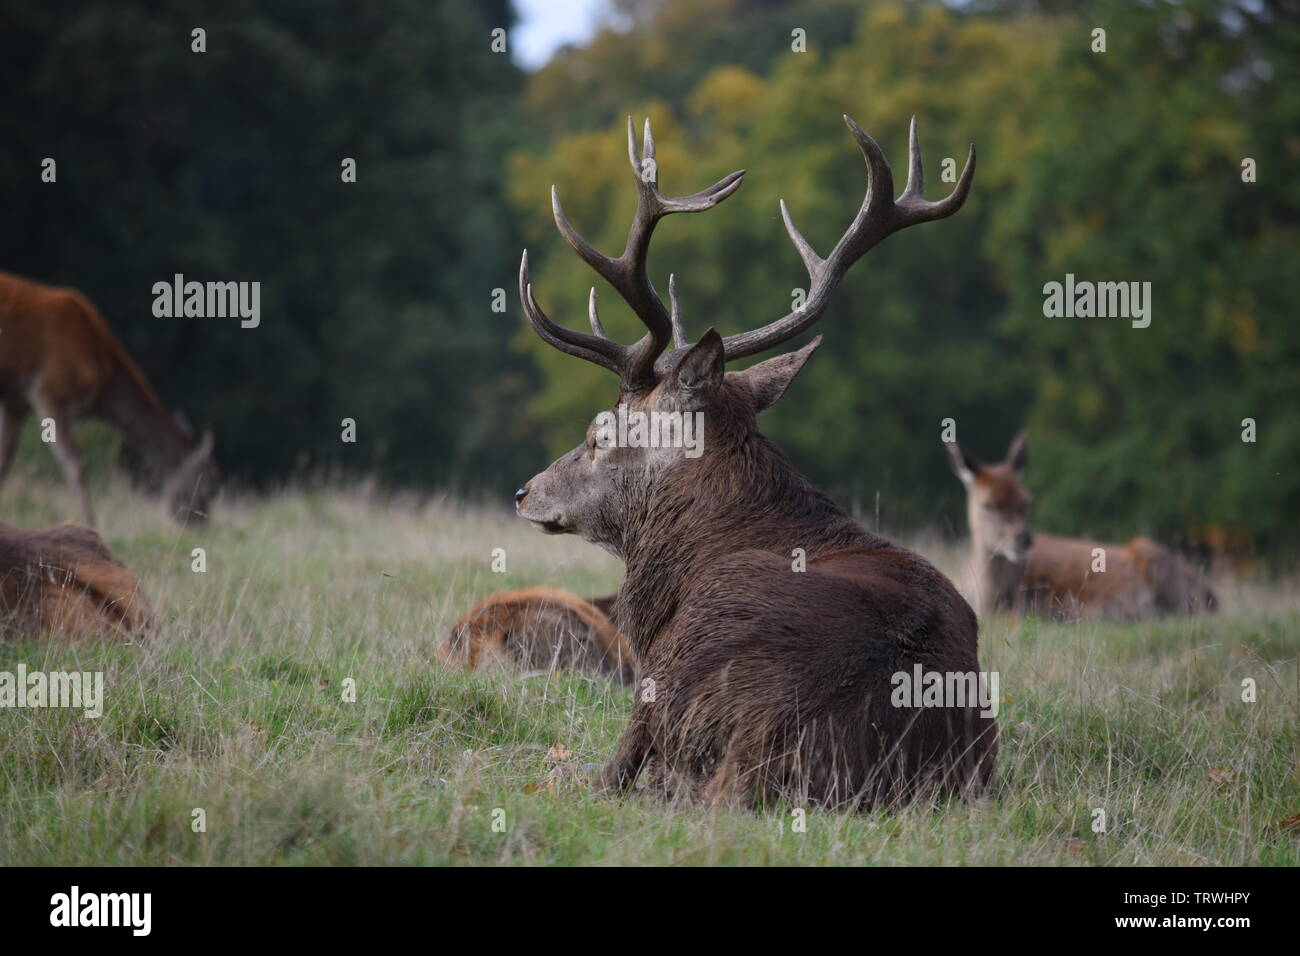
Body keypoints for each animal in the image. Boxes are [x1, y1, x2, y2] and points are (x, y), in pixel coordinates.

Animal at [0, 270, 219, 527]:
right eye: (207, 487)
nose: (199, 525)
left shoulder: (17, 402)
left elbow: (4, 461)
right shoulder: (50, 390)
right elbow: (77, 466)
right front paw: (91, 526)